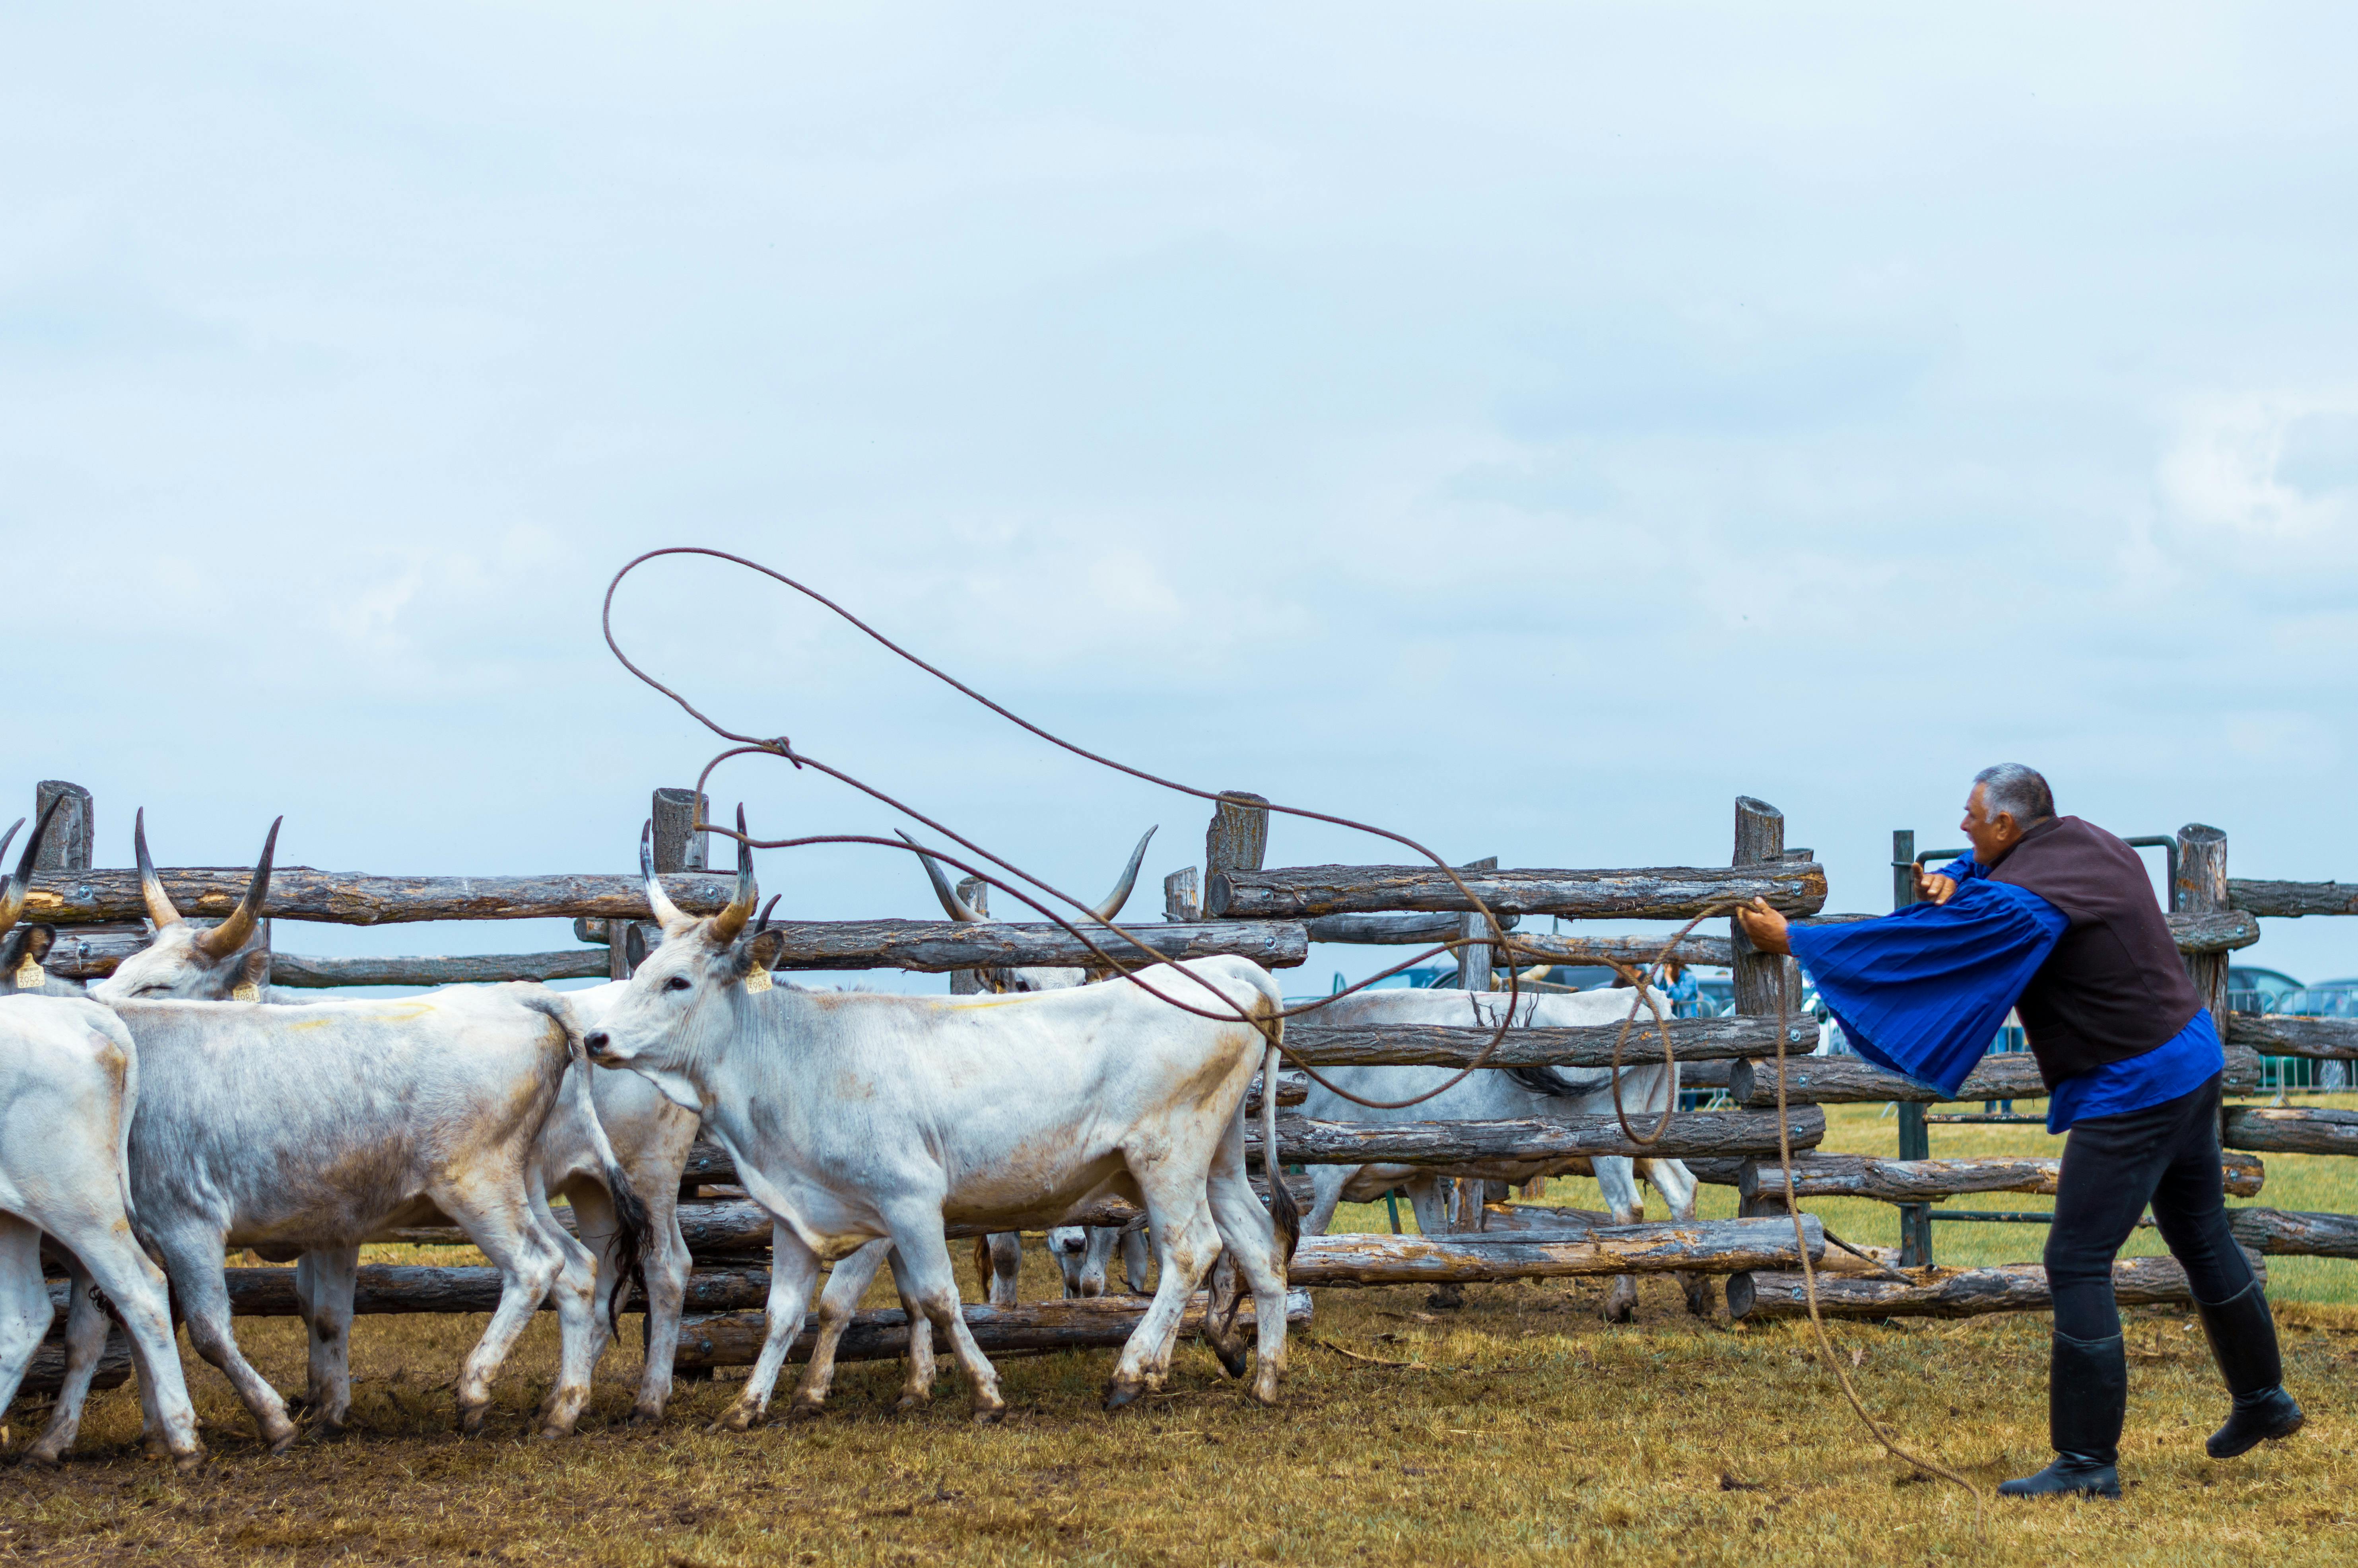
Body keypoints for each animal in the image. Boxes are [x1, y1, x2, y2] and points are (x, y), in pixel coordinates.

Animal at [0, 807, 204, 1470]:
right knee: (33, 1315)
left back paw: (181, 1437)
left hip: (79, 1202)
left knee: (141, 1289)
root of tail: (90, 1015)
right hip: (21, 1211)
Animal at [89, 813, 701, 1426]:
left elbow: (324, 1311)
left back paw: (618, 1397)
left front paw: (324, 1407)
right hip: (570, 1187)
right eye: (124, 968)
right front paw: (324, 1403)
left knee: (643, 1267)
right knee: (591, 1271)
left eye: (159, 985)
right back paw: (562, 1404)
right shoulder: (318, 1223)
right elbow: (315, 1307)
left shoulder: (329, 1224)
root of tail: (531, 1002)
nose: (91, 1005)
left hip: (606, 1178)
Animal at [1297, 984, 1708, 1322]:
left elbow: (1309, 1231)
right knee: (1682, 1188)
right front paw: (1446, 1292)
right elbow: (1435, 1231)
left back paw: (1620, 1304)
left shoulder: (1326, 1173)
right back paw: (1697, 1287)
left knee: (1629, 1210)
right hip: (1651, 1135)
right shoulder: (1417, 1170)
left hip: (1610, 1144)